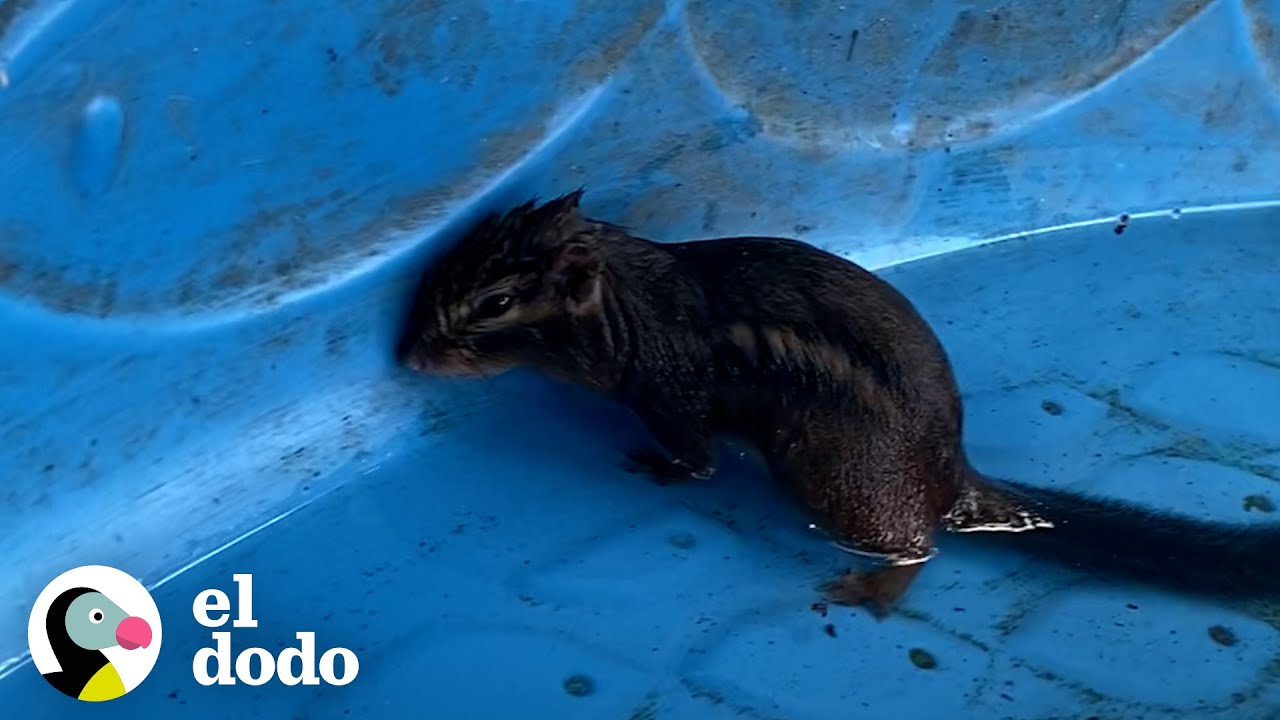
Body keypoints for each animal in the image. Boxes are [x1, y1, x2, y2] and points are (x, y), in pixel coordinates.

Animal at [396, 189, 1280, 618]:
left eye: (497, 303)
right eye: (450, 263)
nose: (407, 355)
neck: (628, 304)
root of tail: (951, 483)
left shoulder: (669, 395)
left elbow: (697, 462)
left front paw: (656, 470)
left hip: (827, 480)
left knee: (917, 548)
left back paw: (874, 587)